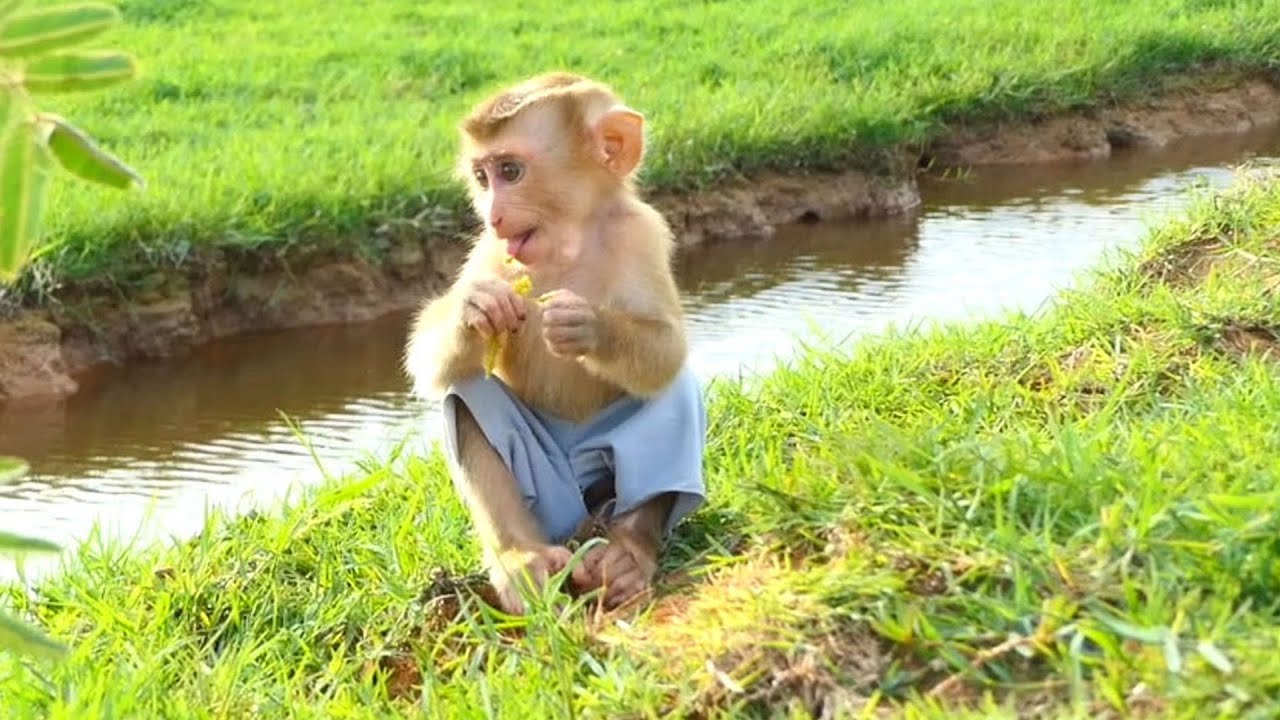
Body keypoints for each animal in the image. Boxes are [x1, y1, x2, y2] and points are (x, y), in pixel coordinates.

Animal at [404, 73, 707, 615]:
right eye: (482, 178)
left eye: (510, 171)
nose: (495, 214)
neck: (571, 240)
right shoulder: (492, 252)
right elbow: (431, 362)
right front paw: (474, 310)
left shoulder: (642, 233)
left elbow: (666, 349)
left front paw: (587, 325)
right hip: (547, 500)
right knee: (467, 395)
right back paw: (521, 561)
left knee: (671, 392)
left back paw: (628, 551)